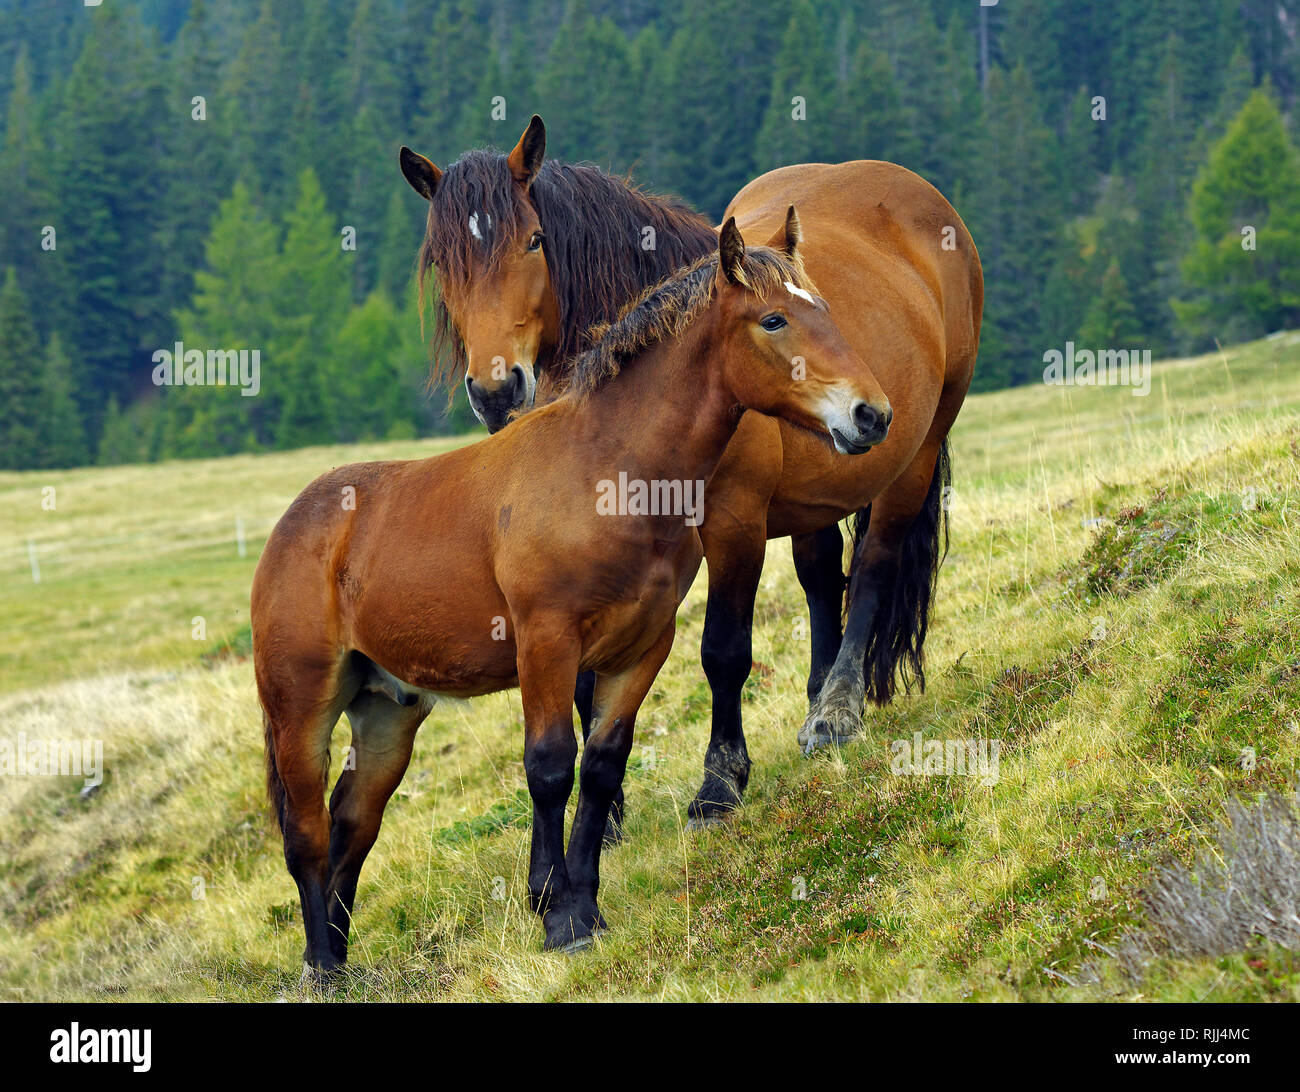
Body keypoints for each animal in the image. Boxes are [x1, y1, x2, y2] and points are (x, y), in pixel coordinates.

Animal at [252, 215, 891, 973]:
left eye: (824, 306)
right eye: (774, 319)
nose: (872, 415)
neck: (607, 469)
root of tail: (293, 528)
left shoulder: (639, 648)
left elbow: (604, 767)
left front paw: (585, 908)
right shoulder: (546, 644)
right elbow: (552, 767)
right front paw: (554, 913)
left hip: (387, 710)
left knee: (354, 820)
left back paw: (341, 962)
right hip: (301, 708)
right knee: (307, 831)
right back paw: (322, 965)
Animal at [398, 117, 983, 828]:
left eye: (534, 241)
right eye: (442, 263)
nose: (496, 391)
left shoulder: (734, 527)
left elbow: (723, 651)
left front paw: (720, 783)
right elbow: (586, 680)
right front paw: (609, 815)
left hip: (914, 456)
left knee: (873, 568)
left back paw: (836, 711)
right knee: (822, 577)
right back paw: (818, 695)